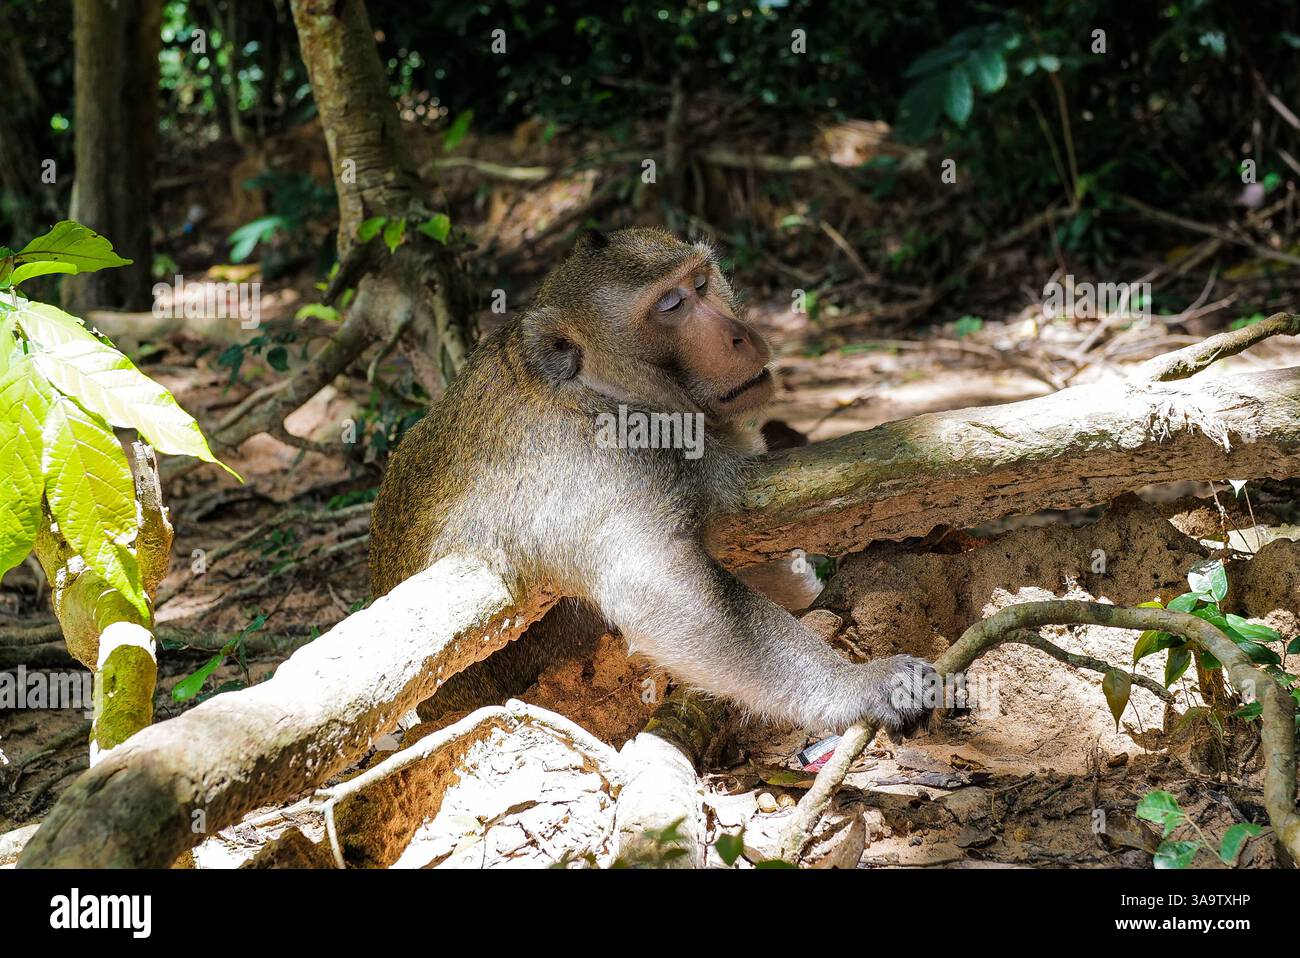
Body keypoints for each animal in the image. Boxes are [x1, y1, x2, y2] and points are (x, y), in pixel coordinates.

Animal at [369, 228, 936, 736]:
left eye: (702, 283)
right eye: (670, 305)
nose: (739, 335)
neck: (601, 390)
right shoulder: (601, 463)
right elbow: (663, 586)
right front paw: (859, 684)